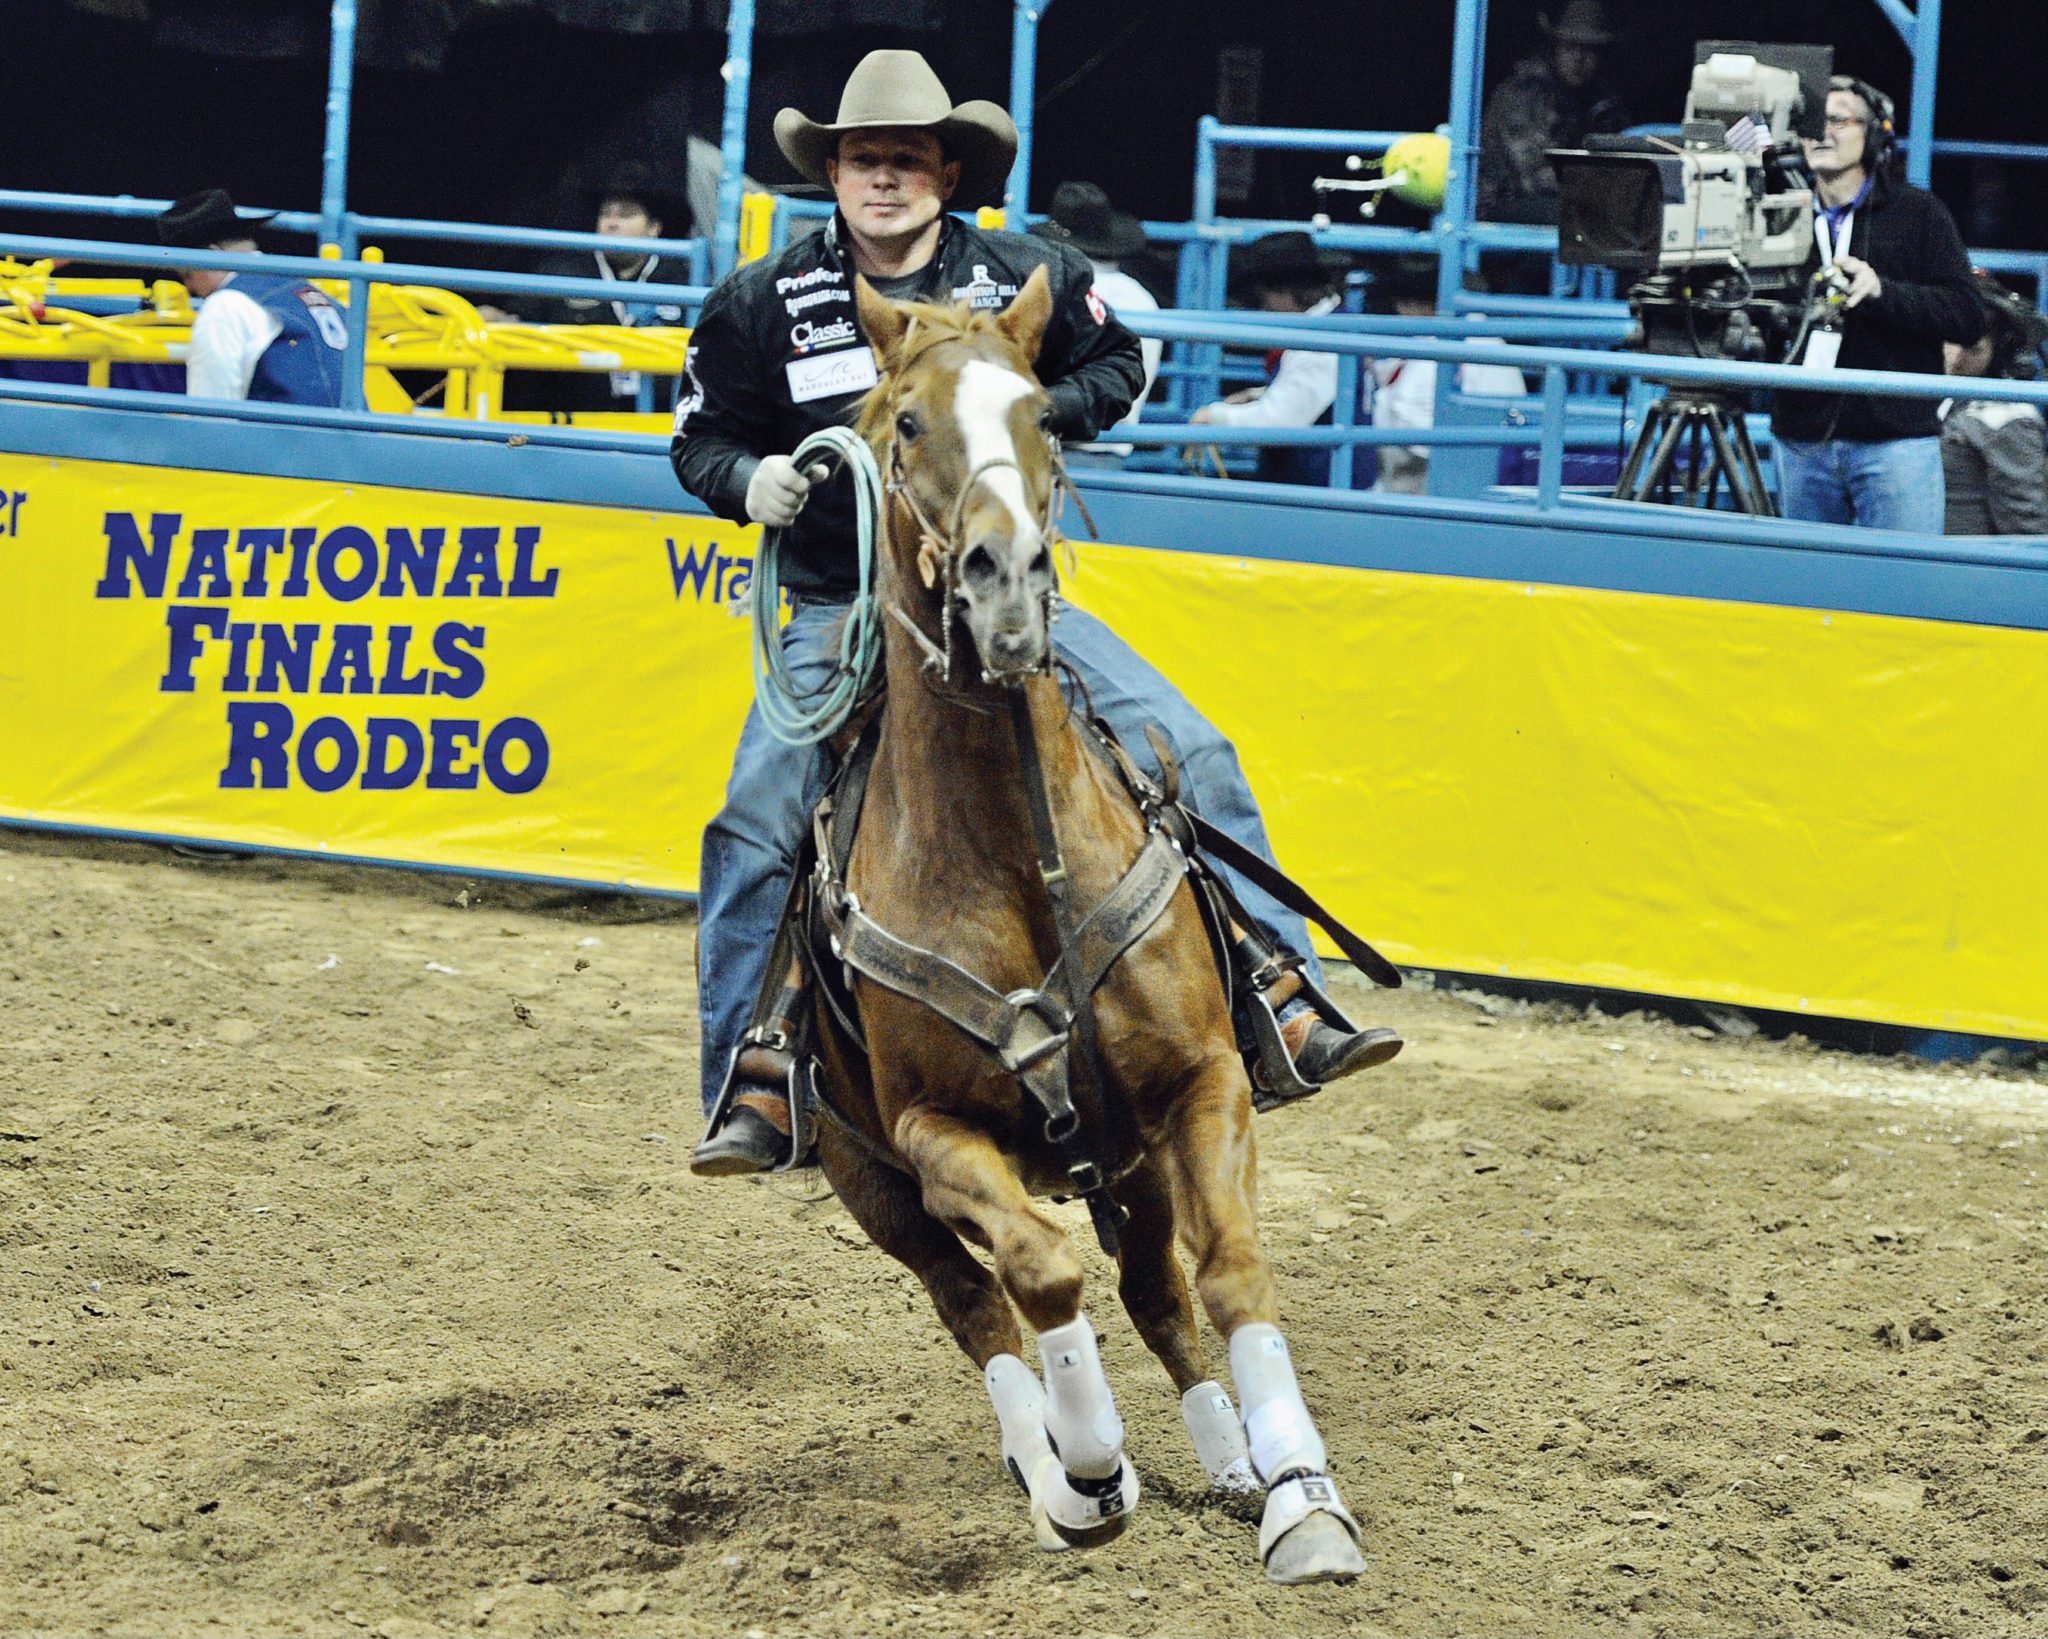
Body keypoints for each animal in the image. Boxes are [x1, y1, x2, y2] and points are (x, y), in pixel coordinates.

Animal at [794, 264, 1365, 1585]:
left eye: (1043, 415)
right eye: (904, 423)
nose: (1005, 577)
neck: (1018, 858)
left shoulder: (1201, 1081)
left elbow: (1228, 1271)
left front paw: (1299, 1497)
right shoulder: (933, 1130)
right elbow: (1038, 1273)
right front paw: (1091, 1469)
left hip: (1132, 1157)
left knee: (1157, 1293)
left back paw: (1229, 1461)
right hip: (866, 1176)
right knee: (973, 1303)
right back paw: (1050, 1468)